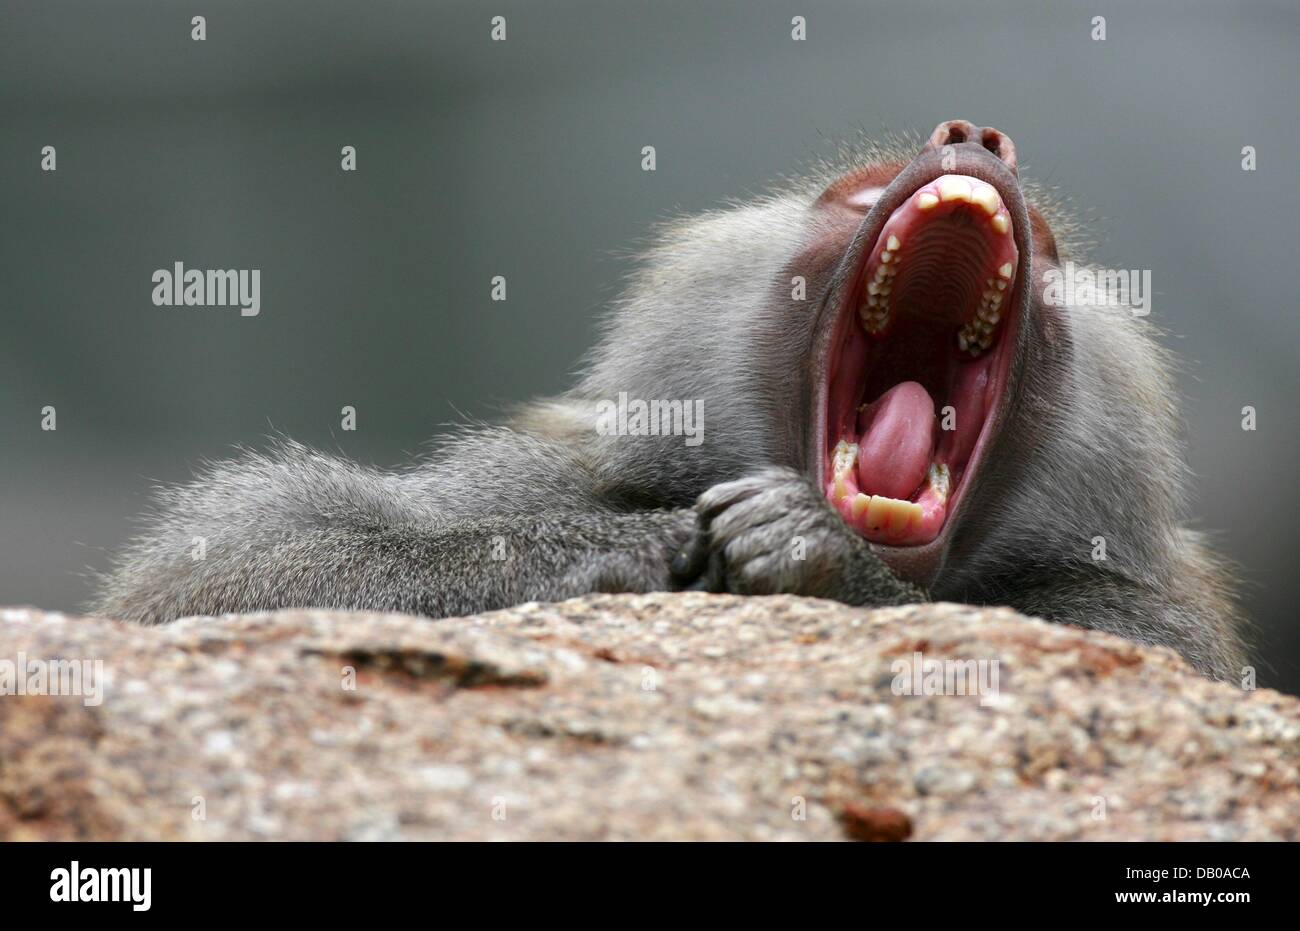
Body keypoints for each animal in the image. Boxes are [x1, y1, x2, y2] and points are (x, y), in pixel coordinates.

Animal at [92, 119, 1246, 680]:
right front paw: (619, 549)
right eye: (854, 198)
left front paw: (823, 556)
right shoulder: (544, 474)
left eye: (1044, 244)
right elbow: (214, 572)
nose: (977, 136)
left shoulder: (1149, 617)